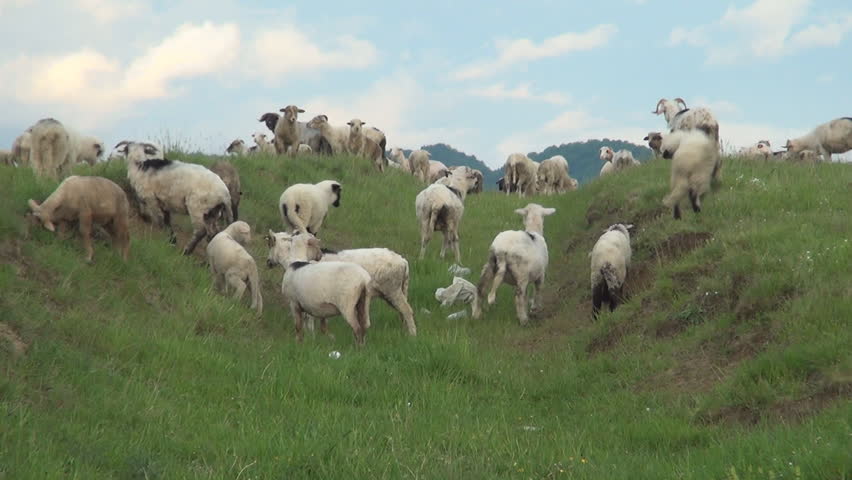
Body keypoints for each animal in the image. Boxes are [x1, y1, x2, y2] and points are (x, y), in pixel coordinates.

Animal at [272, 231, 417, 335]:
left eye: (271, 244)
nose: (268, 262)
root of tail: (403, 261)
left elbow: (310, 316)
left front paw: (311, 334)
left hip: (392, 289)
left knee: (406, 311)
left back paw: (412, 335)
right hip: (397, 290)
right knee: (402, 312)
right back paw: (404, 332)